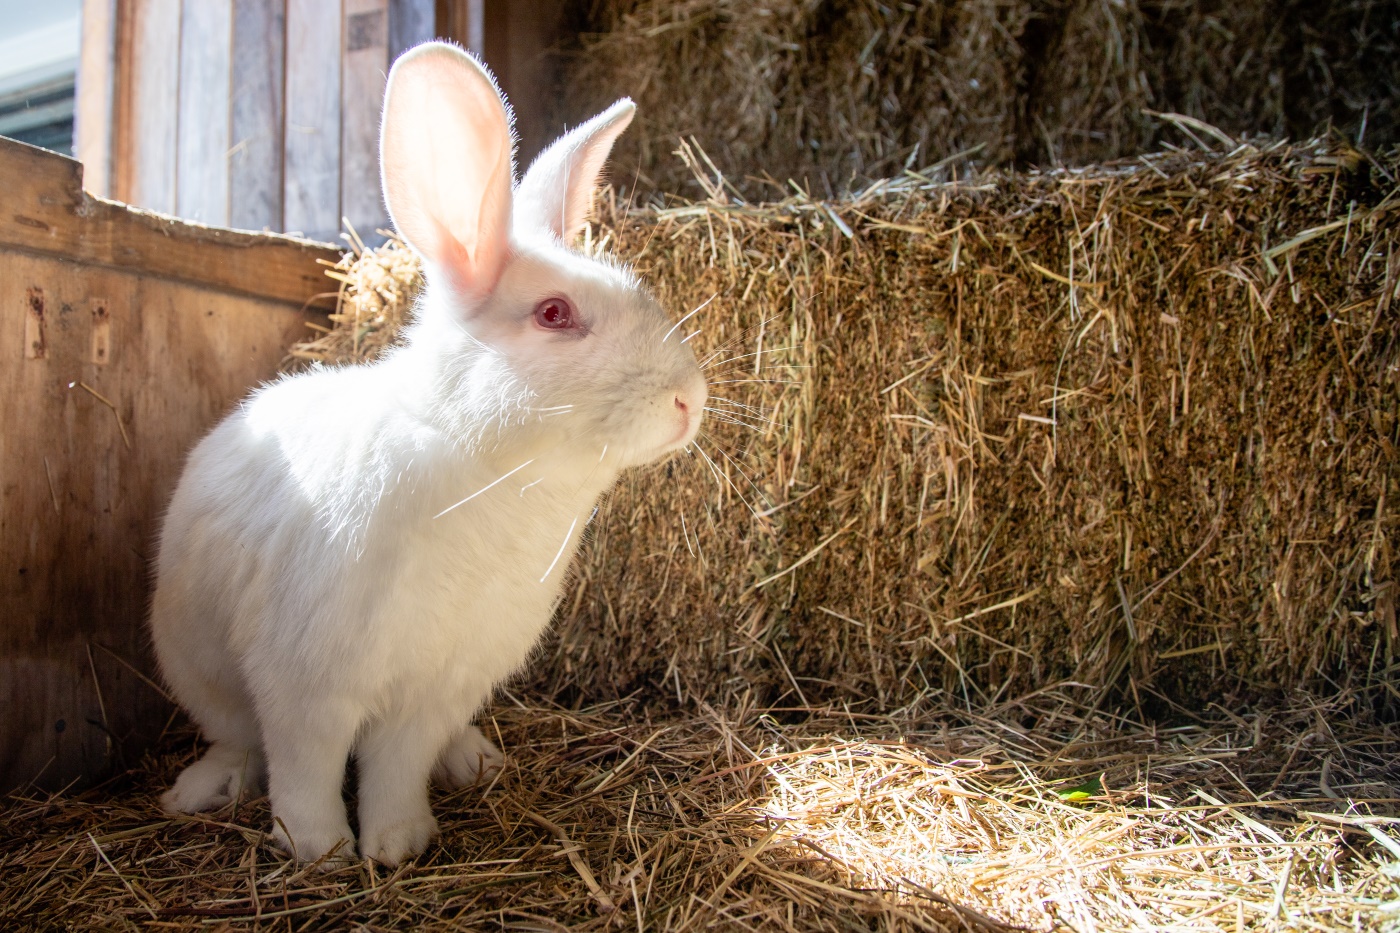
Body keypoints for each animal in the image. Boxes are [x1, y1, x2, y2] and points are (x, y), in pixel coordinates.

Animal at [147, 41, 707, 866]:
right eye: (554, 313)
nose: (689, 398)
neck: (485, 467)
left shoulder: (433, 688)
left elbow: (397, 765)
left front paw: (396, 842)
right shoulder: (306, 680)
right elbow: (307, 766)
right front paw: (319, 848)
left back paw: (471, 758)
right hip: (196, 665)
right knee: (239, 739)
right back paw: (203, 788)